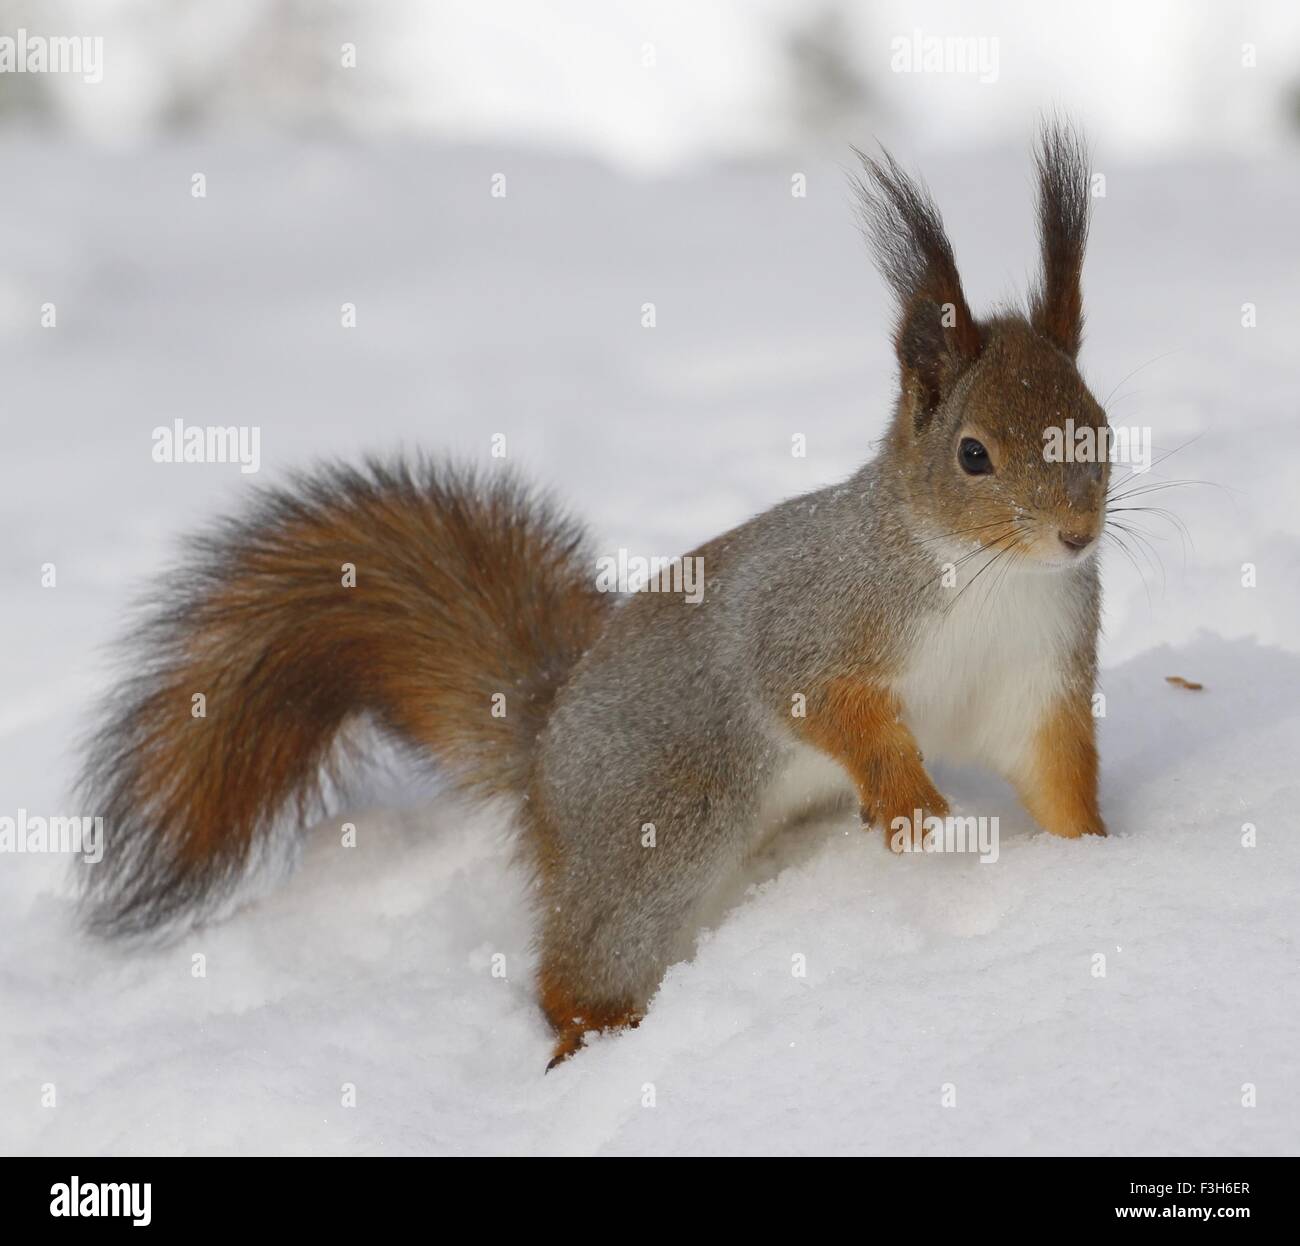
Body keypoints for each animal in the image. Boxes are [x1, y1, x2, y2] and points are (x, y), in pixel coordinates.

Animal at [78, 122, 1108, 1068]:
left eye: (1096, 422)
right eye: (972, 454)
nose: (1078, 535)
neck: (991, 580)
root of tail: (545, 743)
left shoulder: (1037, 674)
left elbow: (1054, 769)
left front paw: (1099, 857)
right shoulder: (815, 617)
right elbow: (819, 699)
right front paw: (911, 808)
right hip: (655, 827)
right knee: (585, 959)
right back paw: (596, 1040)